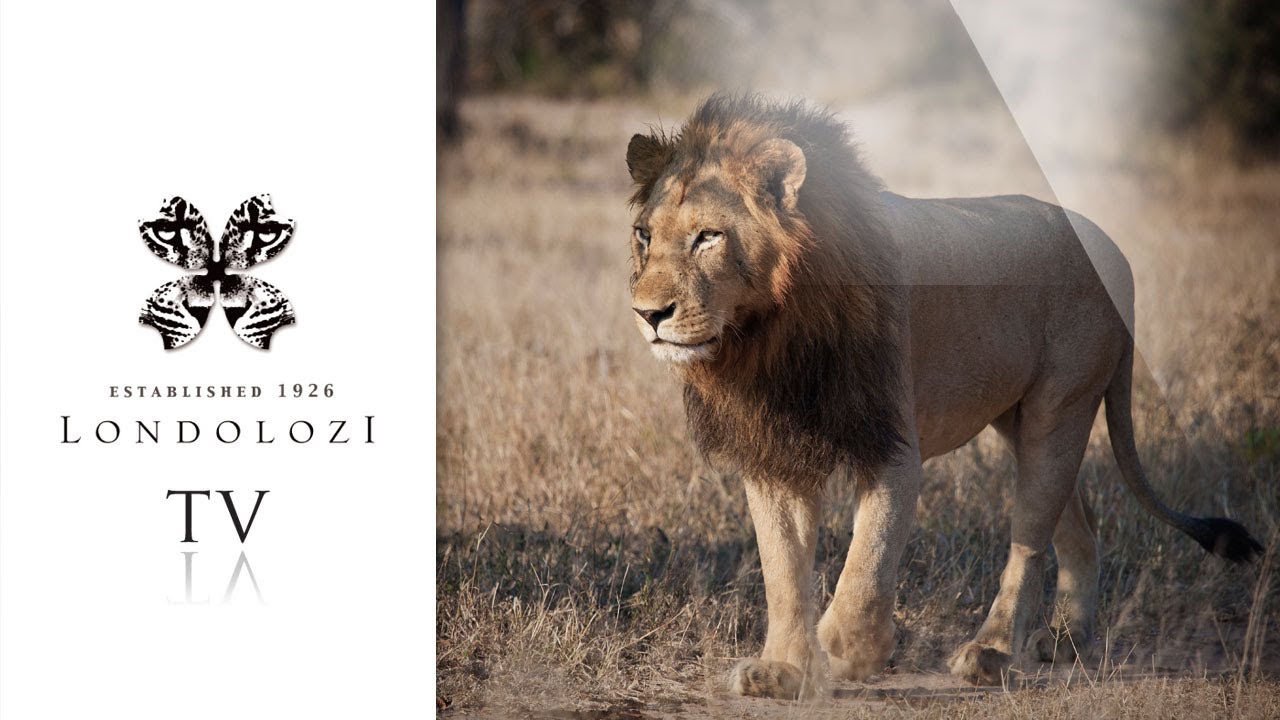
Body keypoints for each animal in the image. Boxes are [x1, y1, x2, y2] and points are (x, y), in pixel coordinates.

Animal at [624, 94, 1262, 699]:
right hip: (1024, 420)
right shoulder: (774, 456)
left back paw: (992, 653)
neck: (770, 337)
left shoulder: (891, 447)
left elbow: (866, 565)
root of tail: (1115, 250)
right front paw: (783, 671)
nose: (649, 314)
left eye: (708, 237)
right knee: (1078, 529)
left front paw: (843, 653)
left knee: (1029, 541)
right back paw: (1067, 639)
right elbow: (783, 574)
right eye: (644, 236)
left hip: (1060, 408)